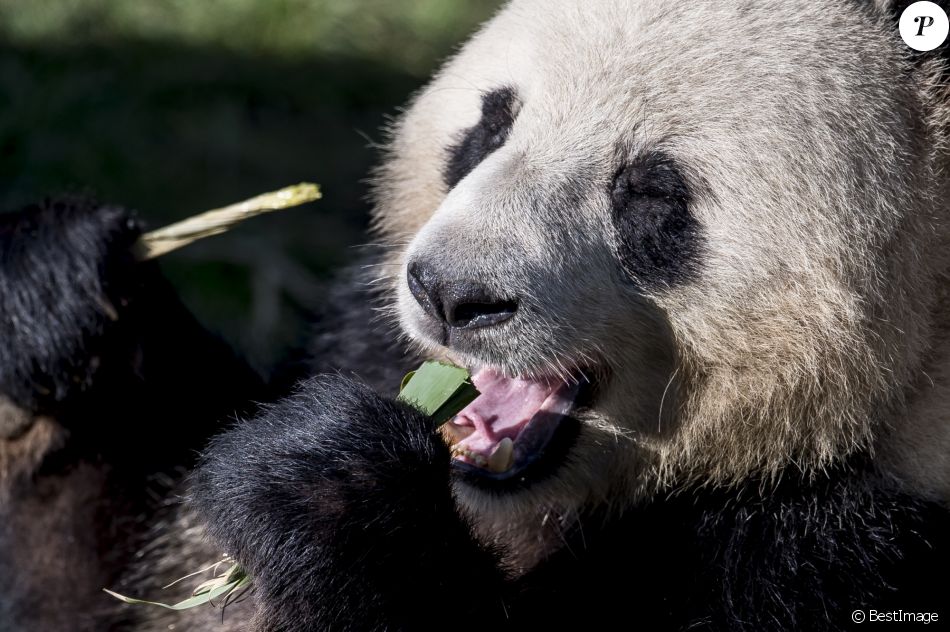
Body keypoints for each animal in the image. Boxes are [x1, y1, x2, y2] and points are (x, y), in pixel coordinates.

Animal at [2, 0, 950, 630]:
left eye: (652, 192)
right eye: (491, 127)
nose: (449, 294)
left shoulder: (849, 547)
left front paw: (328, 487)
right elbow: (117, 583)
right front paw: (60, 297)